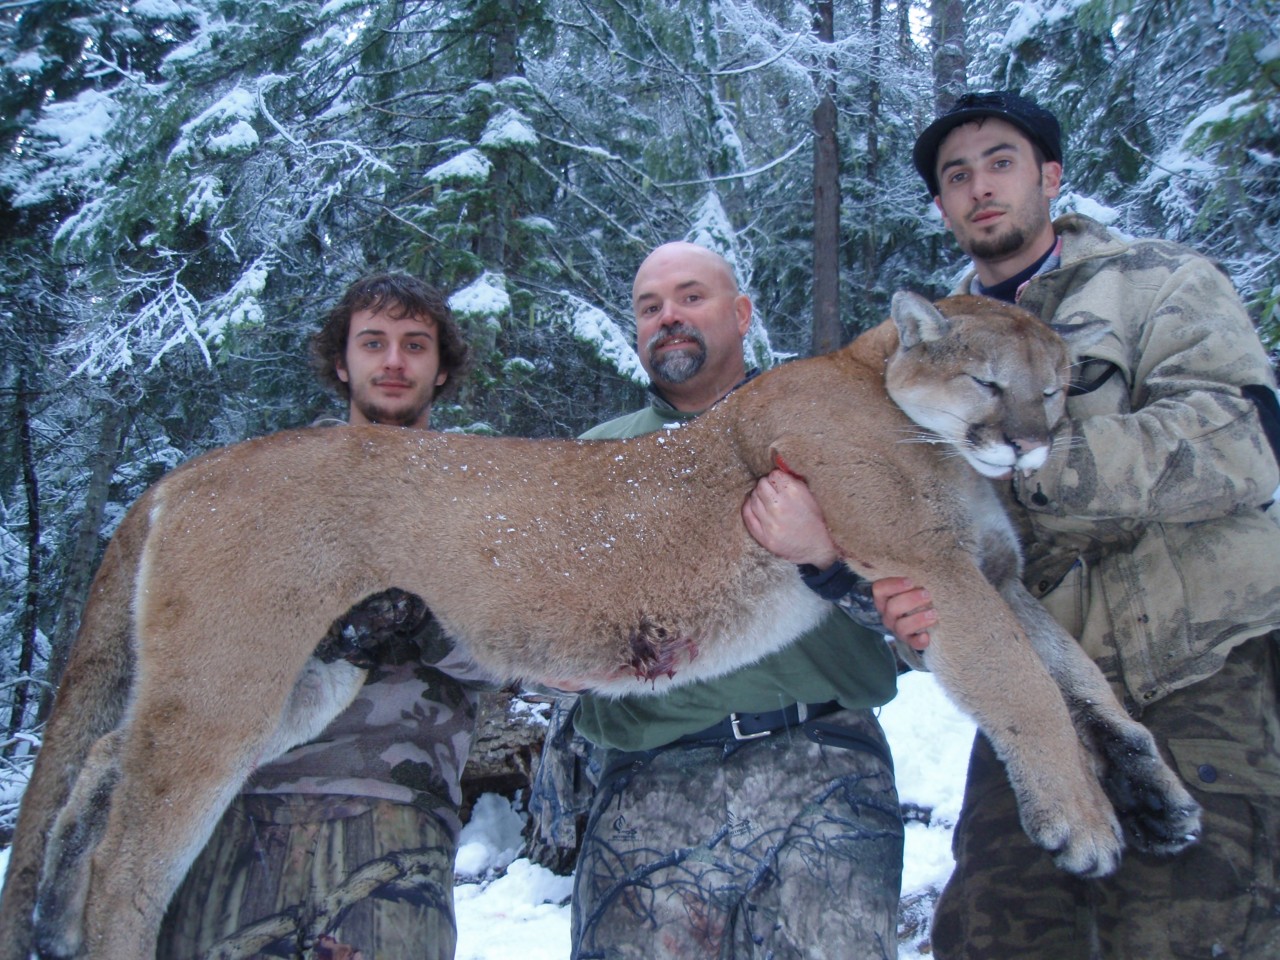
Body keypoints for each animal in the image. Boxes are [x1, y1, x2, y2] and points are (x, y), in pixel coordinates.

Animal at [0, 292, 1200, 959]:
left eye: (1062, 389)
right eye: (991, 383)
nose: (1031, 444)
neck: (886, 392)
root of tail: (187, 469)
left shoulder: (994, 574)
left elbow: (1082, 678)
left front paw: (1155, 797)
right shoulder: (930, 569)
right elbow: (1021, 687)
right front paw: (1082, 824)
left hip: (308, 676)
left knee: (101, 765)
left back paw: (48, 912)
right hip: (229, 680)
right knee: (133, 848)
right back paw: (87, 922)